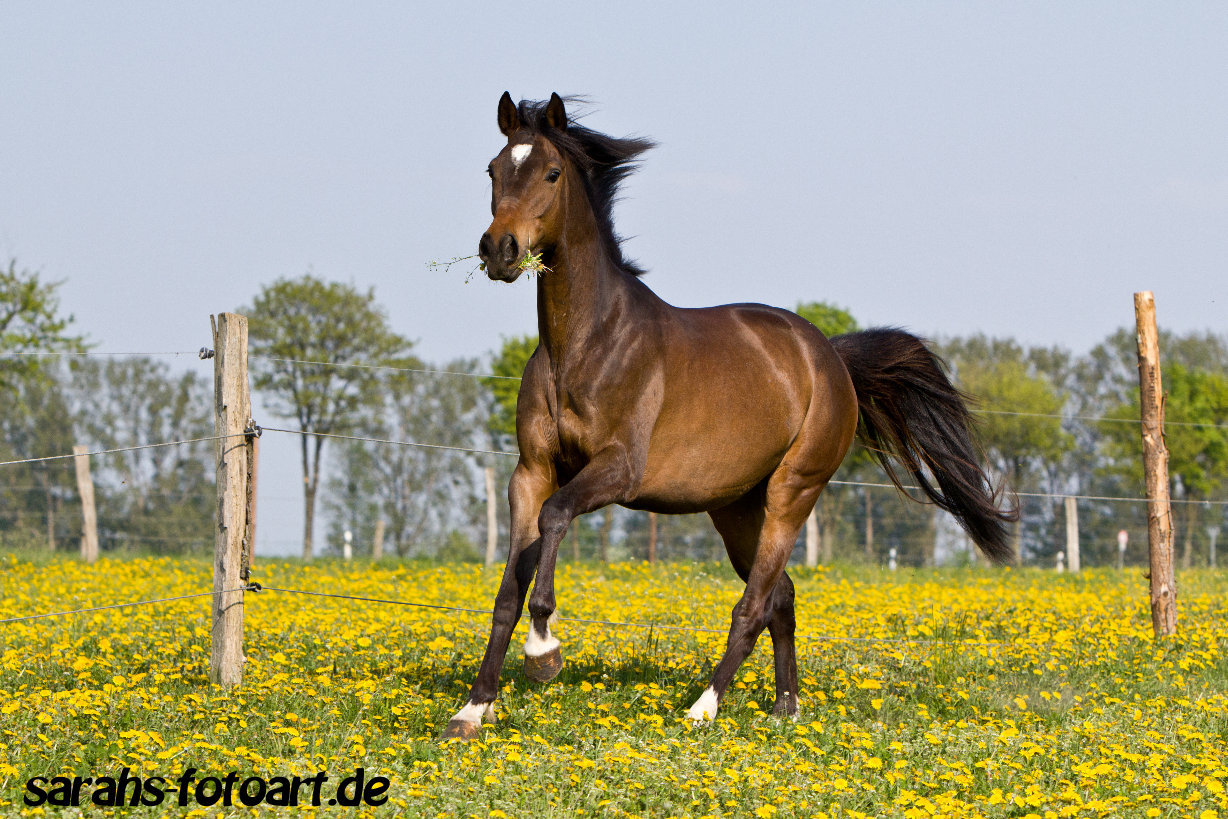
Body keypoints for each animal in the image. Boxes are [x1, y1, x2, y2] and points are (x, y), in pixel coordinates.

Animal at [441, 92, 1015, 740]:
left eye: (552, 173)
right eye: (493, 170)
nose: (500, 250)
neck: (586, 344)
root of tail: (829, 356)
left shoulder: (617, 471)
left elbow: (556, 520)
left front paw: (544, 652)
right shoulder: (531, 472)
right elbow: (509, 587)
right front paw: (473, 709)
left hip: (793, 492)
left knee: (756, 603)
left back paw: (703, 708)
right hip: (737, 508)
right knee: (782, 596)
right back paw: (786, 710)